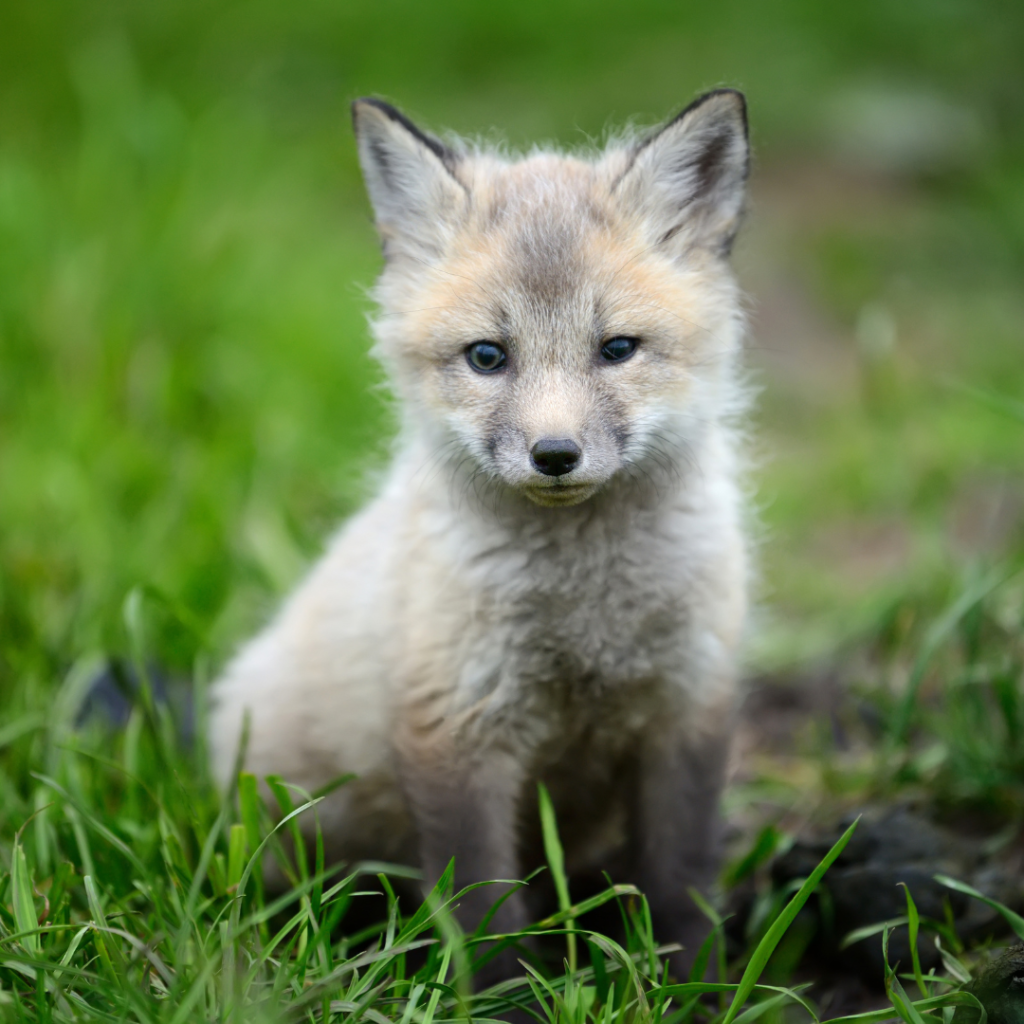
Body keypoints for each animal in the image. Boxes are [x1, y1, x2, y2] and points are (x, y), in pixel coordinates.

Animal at [209, 89, 751, 982]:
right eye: (488, 356)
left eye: (618, 349)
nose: (555, 454)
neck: (584, 609)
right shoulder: (457, 724)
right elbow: (486, 908)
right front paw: (502, 999)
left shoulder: (688, 706)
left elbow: (681, 880)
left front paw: (695, 987)